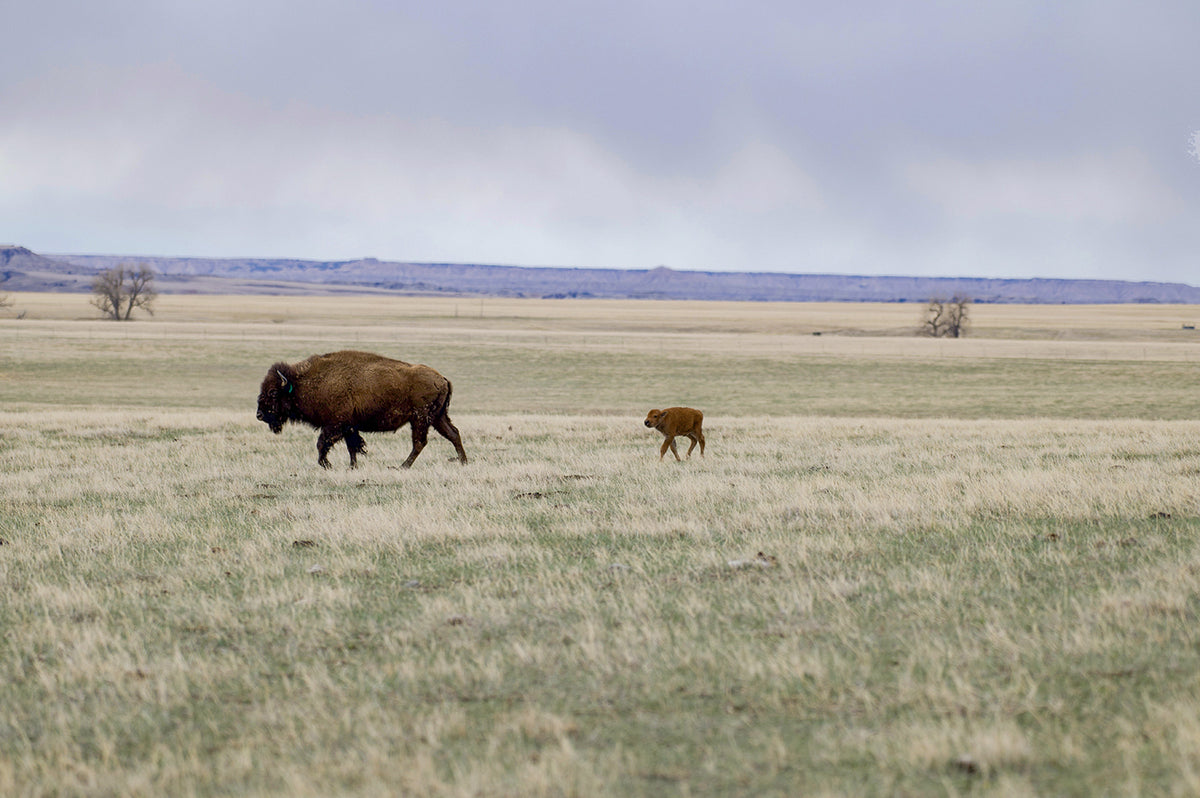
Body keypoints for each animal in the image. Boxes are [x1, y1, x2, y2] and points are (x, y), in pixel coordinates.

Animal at [256, 350, 468, 469]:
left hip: (420, 419)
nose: (259, 414)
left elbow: (322, 444)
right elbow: (352, 447)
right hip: (438, 417)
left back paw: (402, 466)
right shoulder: (349, 427)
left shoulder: (335, 425)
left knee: (420, 442)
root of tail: (442, 378)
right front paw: (352, 467)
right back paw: (463, 462)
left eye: (273, 392)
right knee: (453, 434)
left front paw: (327, 465)